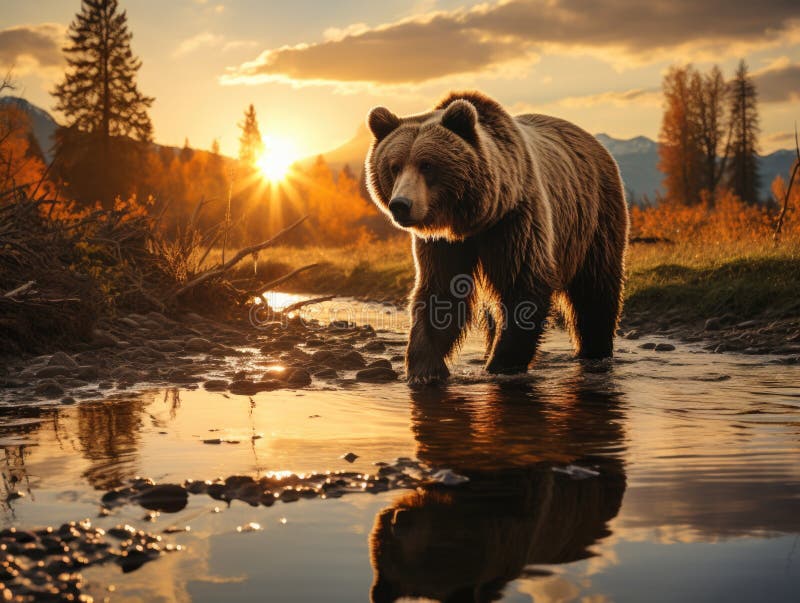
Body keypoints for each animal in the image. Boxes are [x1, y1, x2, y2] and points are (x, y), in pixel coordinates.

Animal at [364, 90, 629, 383]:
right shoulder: (444, 244)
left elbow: (524, 285)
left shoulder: (514, 221)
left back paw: (595, 351)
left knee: (595, 289)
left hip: (594, 217)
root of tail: (594, 141)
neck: (473, 220)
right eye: (394, 166)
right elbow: (440, 292)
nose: (401, 204)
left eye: (427, 165)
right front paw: (426, 368)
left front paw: (501, 365)